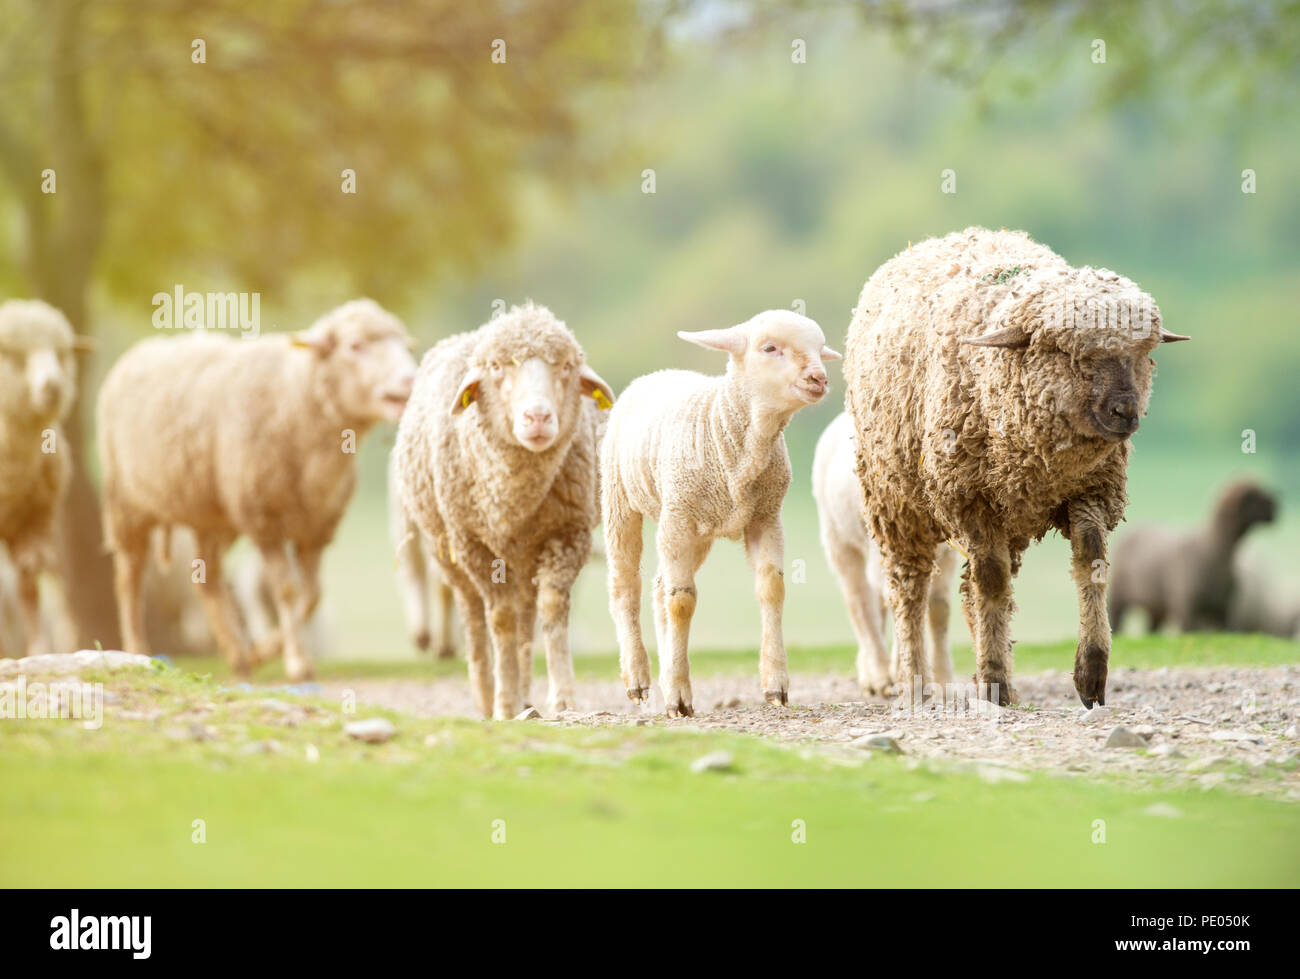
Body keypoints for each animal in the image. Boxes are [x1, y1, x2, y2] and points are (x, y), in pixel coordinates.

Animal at [98, 299, 416, 681]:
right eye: (355, 346)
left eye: (406, 345)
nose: (410, 380)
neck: (296, 402)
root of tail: (142, 350)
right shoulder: (264, 521)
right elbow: (289, 590)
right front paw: (297, 662)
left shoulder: (316, 528)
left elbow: (313, 595)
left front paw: (267, 651)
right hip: (127, 502)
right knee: (129, 580)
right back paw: (138, 650)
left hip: (215, 517)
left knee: (207, 579)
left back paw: (239, 654)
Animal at [602, 309, 839, 717]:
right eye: (769, 348)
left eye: (819, 348)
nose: (819, 378)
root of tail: (656, 373)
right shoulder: (679, 517)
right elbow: (682, 602)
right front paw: (679, 696)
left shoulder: (766, 516)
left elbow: (772, 588)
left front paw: (775, 684)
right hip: (622, 500)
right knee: (626, 584)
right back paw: (638, 678)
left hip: (697, 529)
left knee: (659, 587)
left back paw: (663, 673)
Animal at [812, 411, 958, 695]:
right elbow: (901, 604)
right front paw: (902, 672)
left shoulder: (948, 555)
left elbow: (939, 609)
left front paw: (943, 678)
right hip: (840, 540)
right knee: (859, 601)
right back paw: (879, 674)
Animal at [844, 228, 1188, 707]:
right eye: (1066, 352)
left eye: (1143, 353)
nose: (1125, 412)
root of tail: (939, 238)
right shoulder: (969, 498)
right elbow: (990, 580)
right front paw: (994, 679)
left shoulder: (1090, 491)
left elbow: (1091, 561)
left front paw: (1091, 671)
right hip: (895, 505)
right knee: (910, 589)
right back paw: (916, 682)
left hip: (1008, 519)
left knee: (974, 591)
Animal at [1109, 480, 1277, 633]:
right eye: (1254, 496)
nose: (1276, 507)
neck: (1211, 550)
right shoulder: (1186, 608)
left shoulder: (1223, 612)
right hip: (1119, 596)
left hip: (1156, 607)